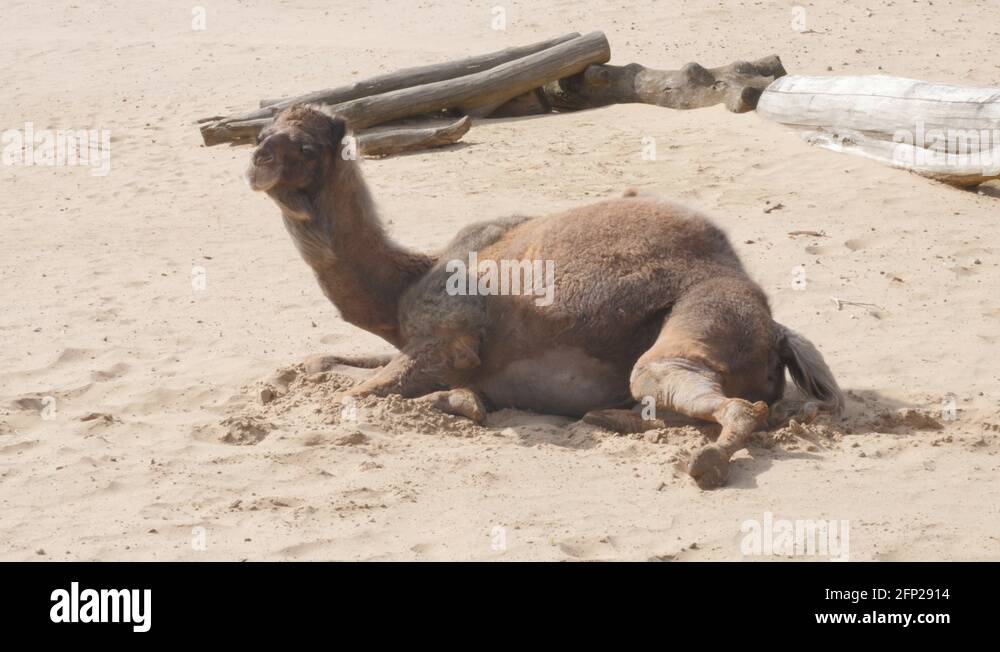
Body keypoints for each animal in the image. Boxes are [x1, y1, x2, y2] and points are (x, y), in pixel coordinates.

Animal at [245, 106, 843, 488]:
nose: (257, 161)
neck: (406, 282)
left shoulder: (447, 343)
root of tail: (774, 327)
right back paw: (608, 418)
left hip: (705, 313)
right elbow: (320, 363)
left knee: (724, 402)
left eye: (305, 145)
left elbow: (361, 392)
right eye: (263, 131)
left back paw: (706, 464)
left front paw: (462, 401)